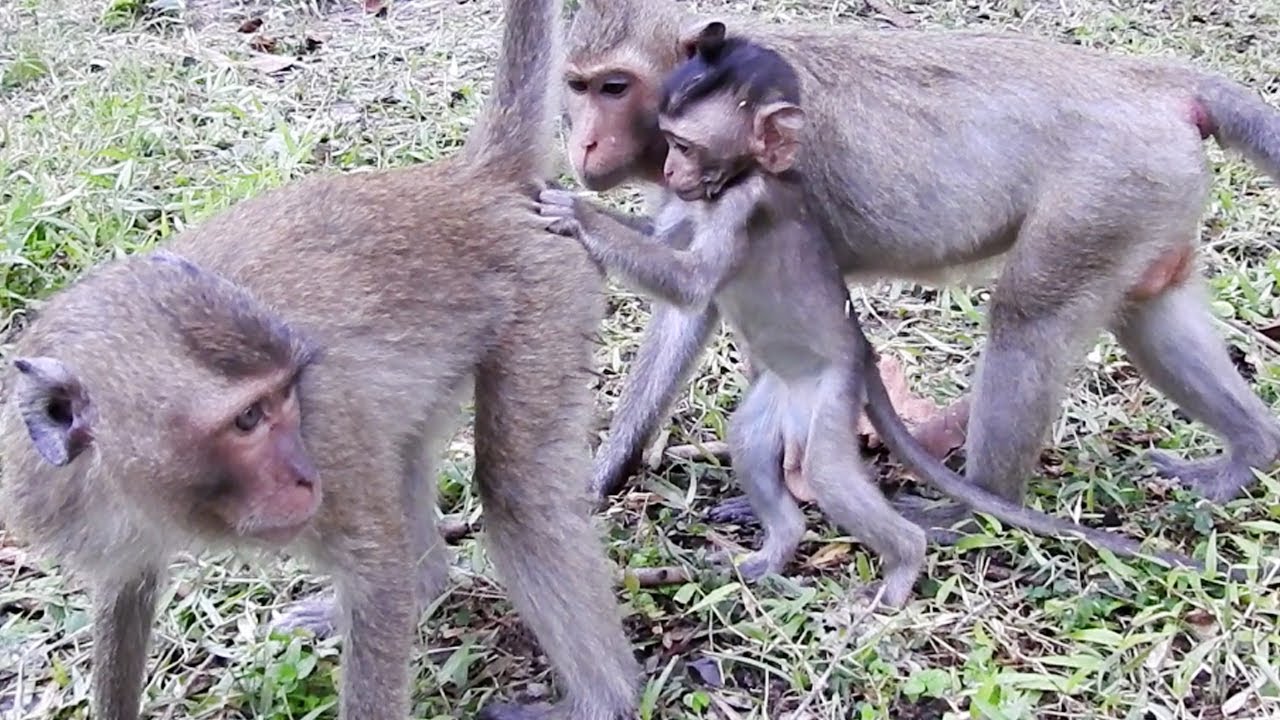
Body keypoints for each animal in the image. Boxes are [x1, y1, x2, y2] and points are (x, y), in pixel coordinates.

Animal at [0, 0, 640, 718]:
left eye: (281, 401)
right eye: (248, 420)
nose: (305, 480)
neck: (131, 489)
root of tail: (466, 180)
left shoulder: (325, 428)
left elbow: (379, 578)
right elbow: (124, 597)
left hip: (549, 294)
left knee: (517, 493)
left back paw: (606, 699)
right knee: (406, 452)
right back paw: (426, 584)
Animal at [540, 21, 1217, 604]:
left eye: (615, 87)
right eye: (578, 86)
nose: (584, 143)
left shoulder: (747, 197)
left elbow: (693, 283)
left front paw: (576, 216)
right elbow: (677, 269)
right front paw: (603, 474)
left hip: (1097, 204)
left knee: (1023, 321)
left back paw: (939, 532)